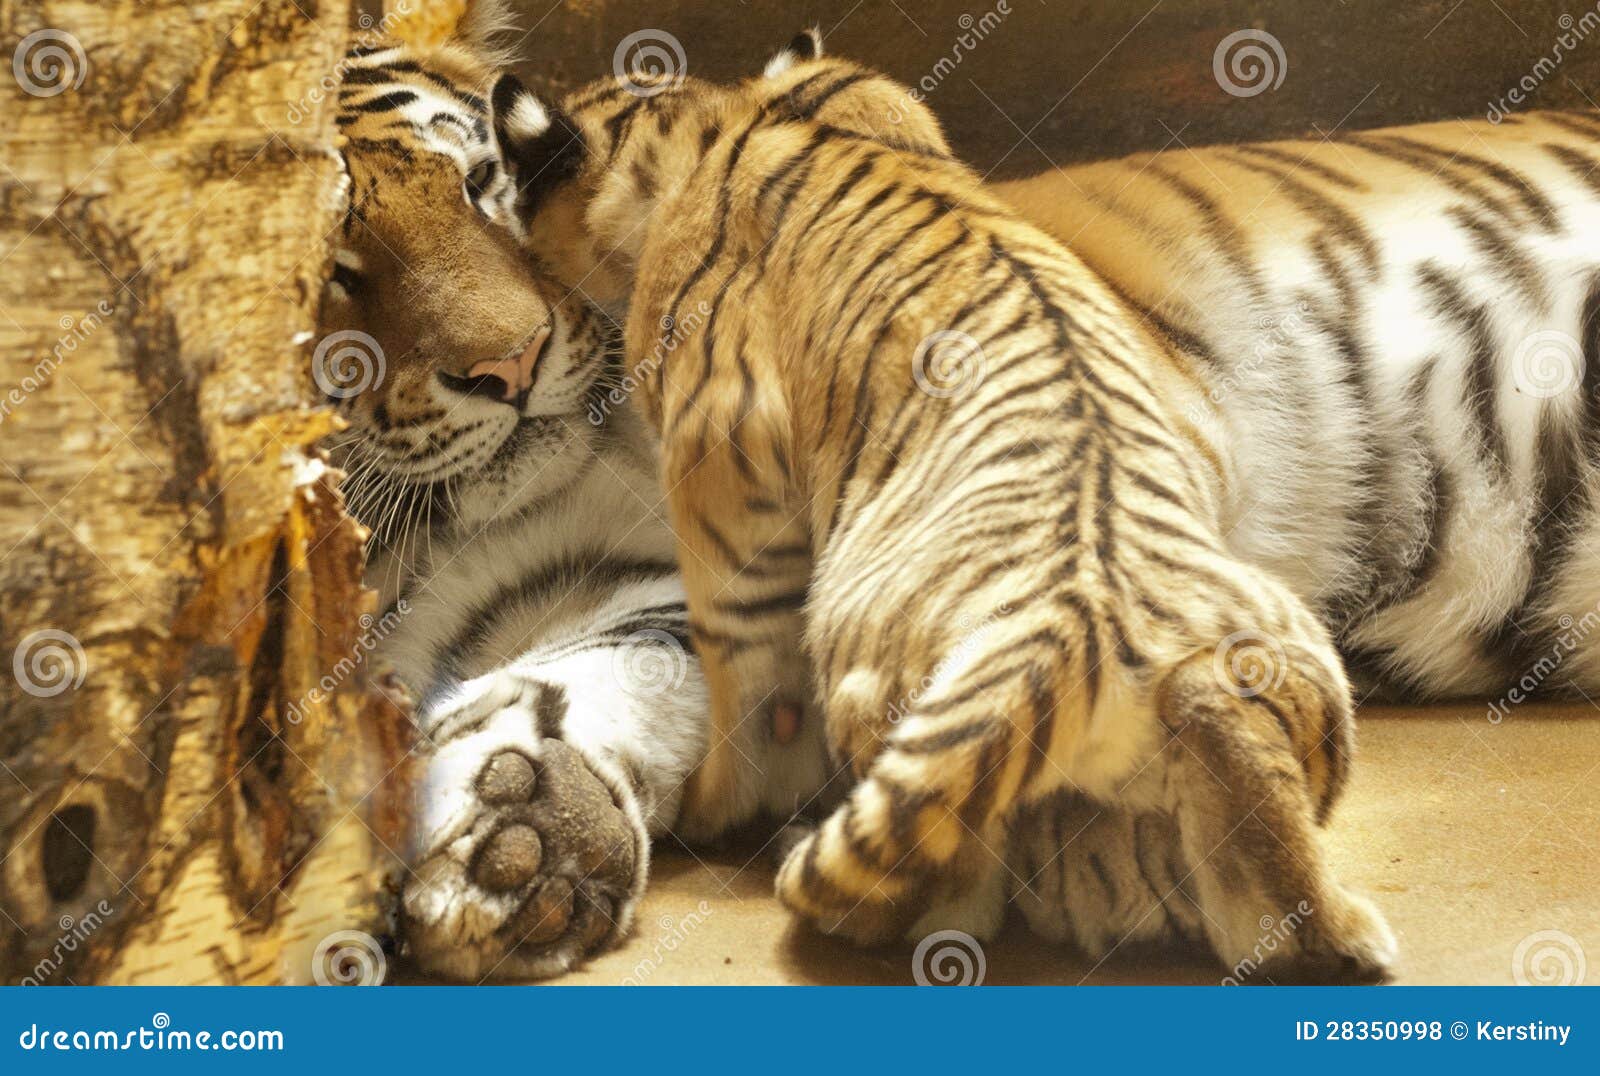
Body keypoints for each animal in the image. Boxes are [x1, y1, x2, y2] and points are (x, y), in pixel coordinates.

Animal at [484, 31, 1400, 981]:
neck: (718, 120)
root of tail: (1086, 631)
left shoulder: (719, 470)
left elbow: (744, 676)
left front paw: (708, 808)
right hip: (1286, 675)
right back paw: (1326, 933)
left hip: (881, 689)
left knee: (934, 880)